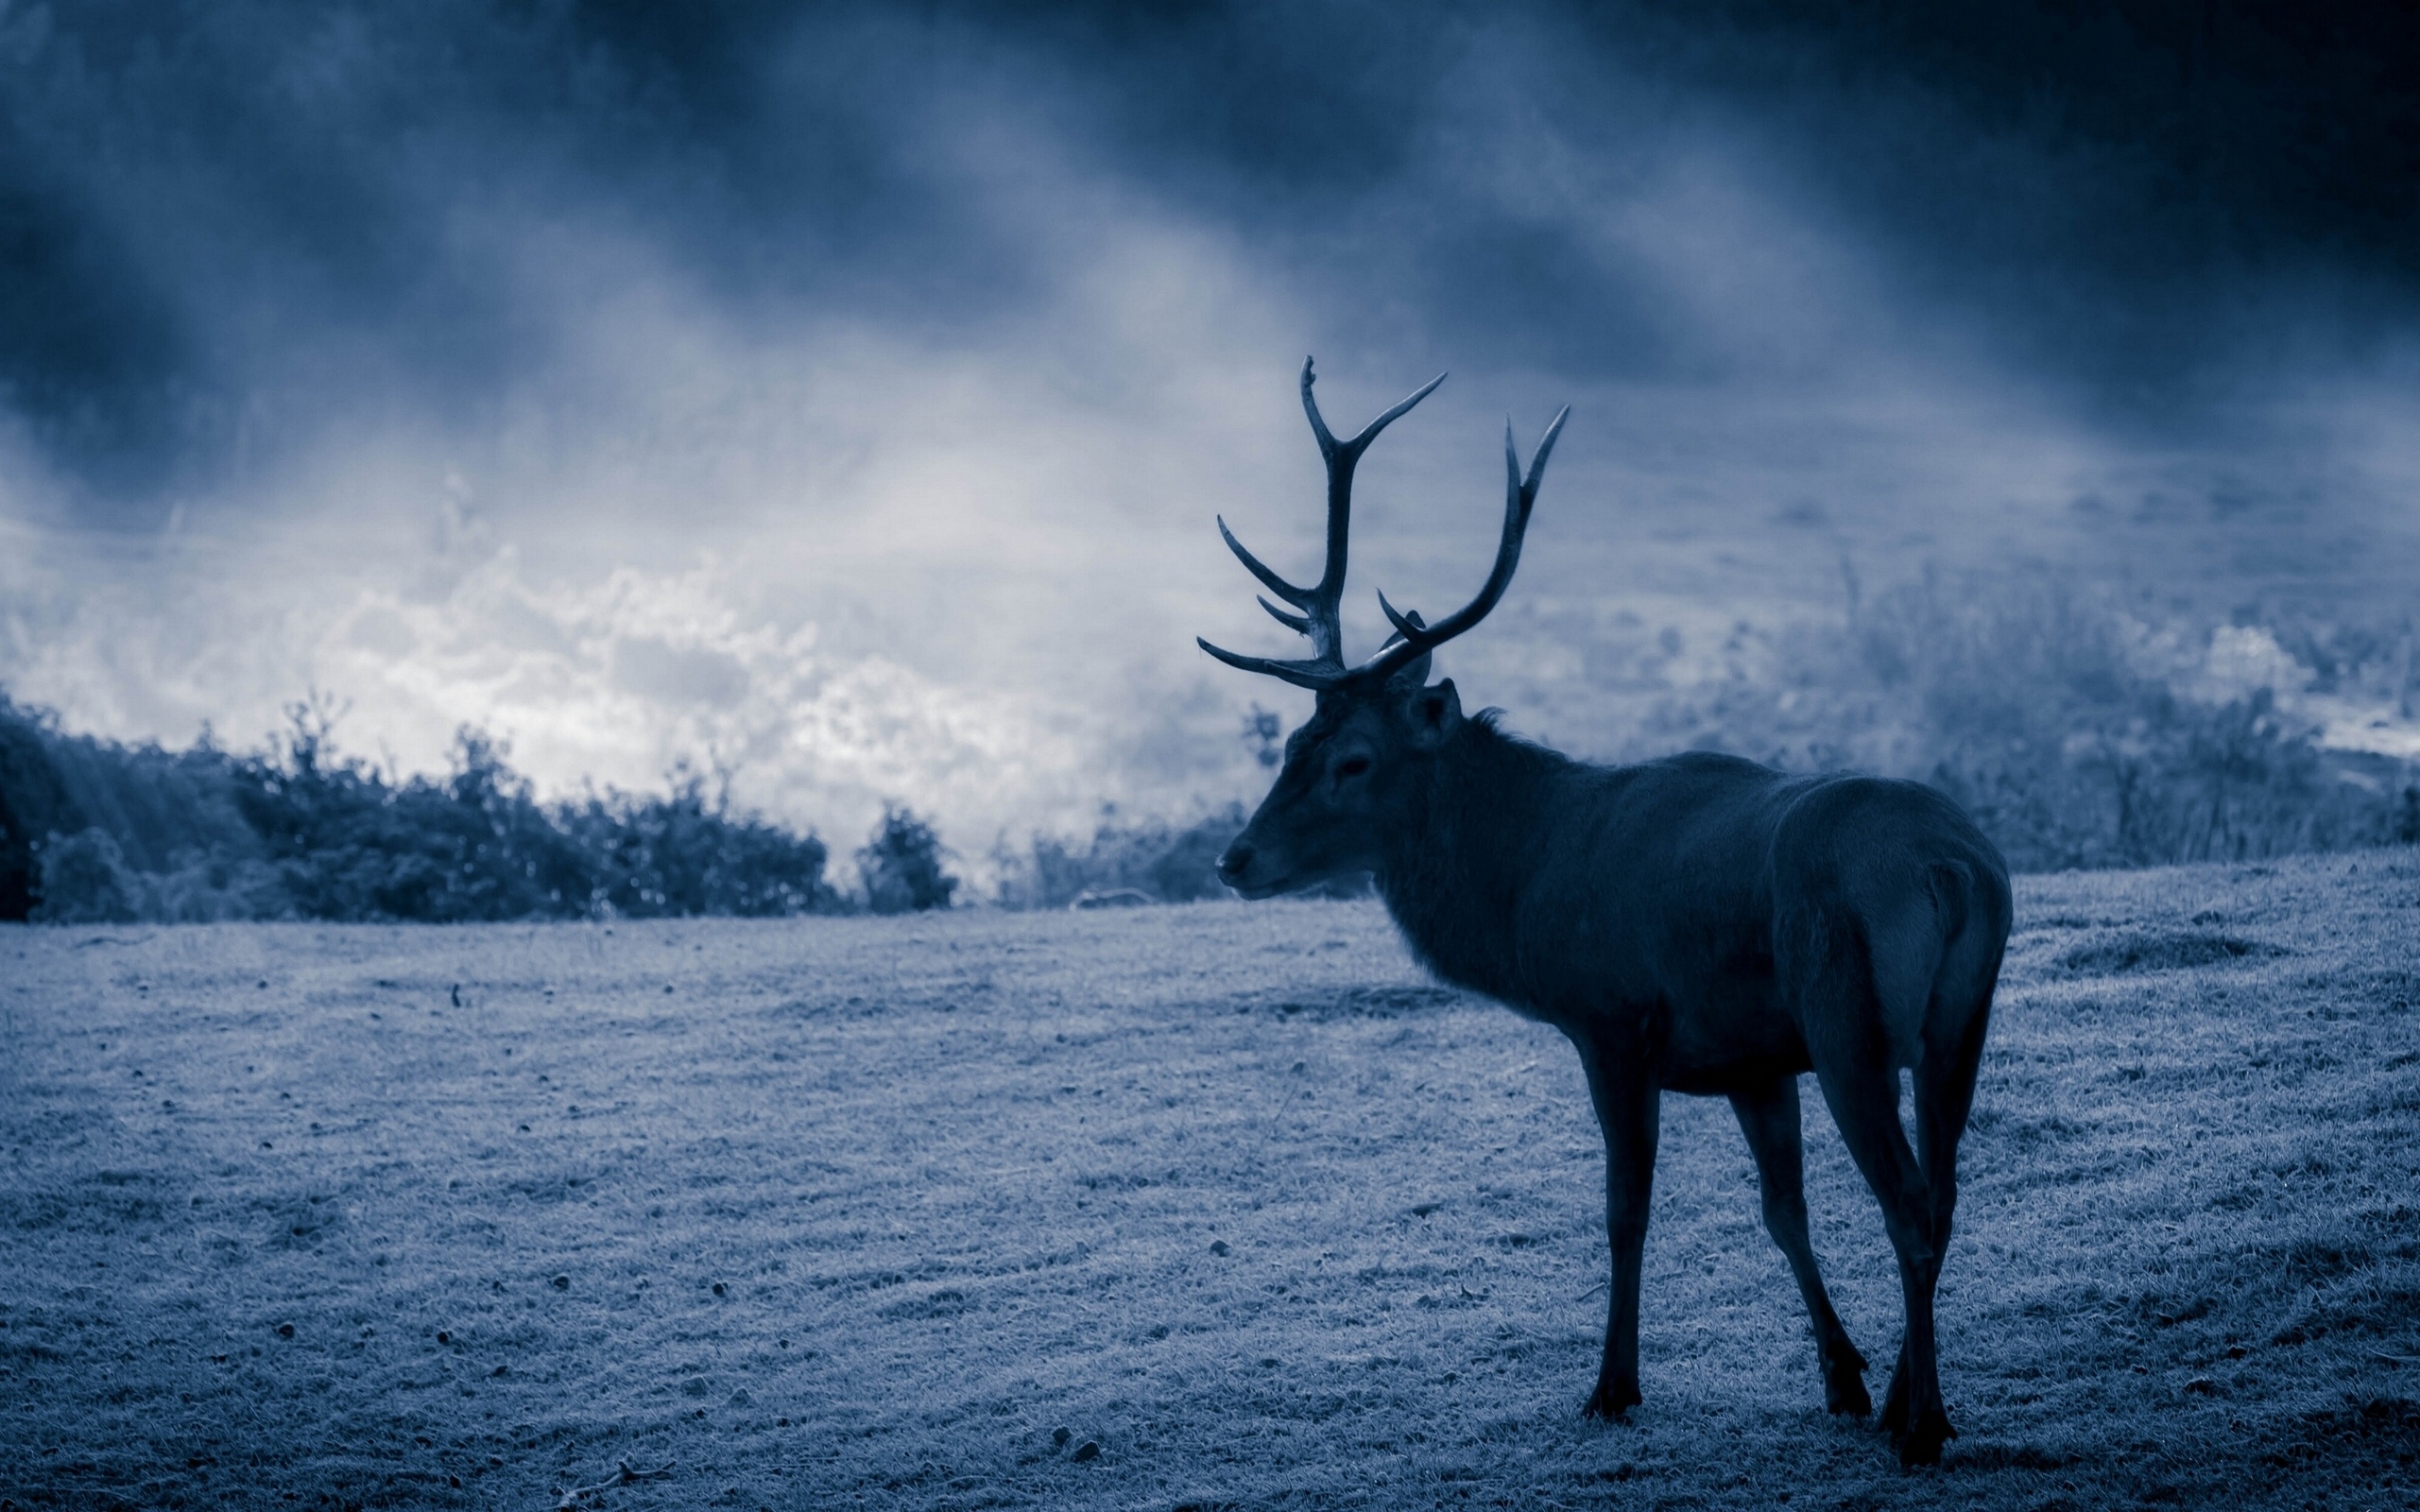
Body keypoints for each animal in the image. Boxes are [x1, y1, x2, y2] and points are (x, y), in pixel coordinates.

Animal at [1197, 359, 2012, 1467]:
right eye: (1290, 741)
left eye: (1352, 761)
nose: (1233, 859)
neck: (1527, 886)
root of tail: (1950, 869)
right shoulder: (1753, 1057)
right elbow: (1781, 1210)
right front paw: (1839, 1379)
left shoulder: (1612, 1020)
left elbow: (1626, 1208)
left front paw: (1612, 1385)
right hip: (1956, 1023)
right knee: (1944, 1189)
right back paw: (1901, 1399)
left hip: (1847, 1017)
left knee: (1912, 1202)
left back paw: (1923, 1421)